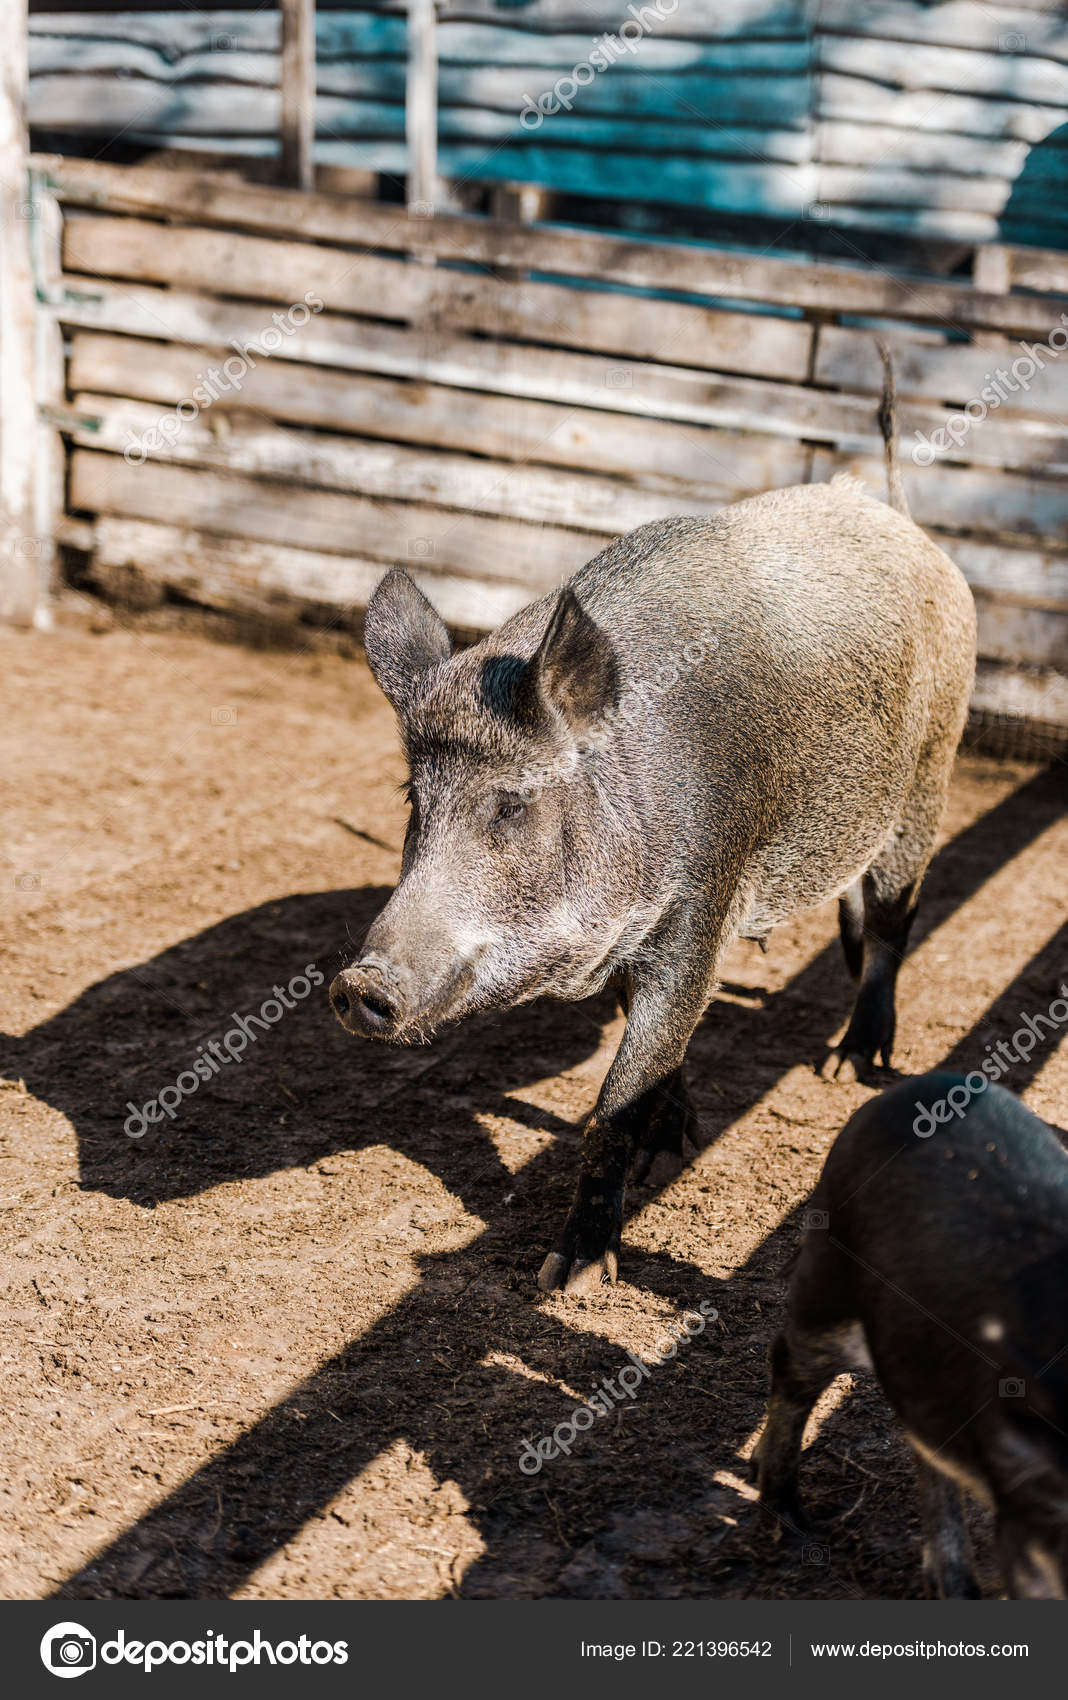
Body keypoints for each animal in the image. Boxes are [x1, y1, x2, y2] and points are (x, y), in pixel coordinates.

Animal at [330, 347, 976, 1294]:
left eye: (513, 804)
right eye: (416, 801)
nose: (356, 984)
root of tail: (894, 511)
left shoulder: (702, 901)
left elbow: (616, 1096)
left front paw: (566, 1276)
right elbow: (655, 1053)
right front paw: (674, 1143)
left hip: (930, 775)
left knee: (895, 924)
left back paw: (847, 1066)